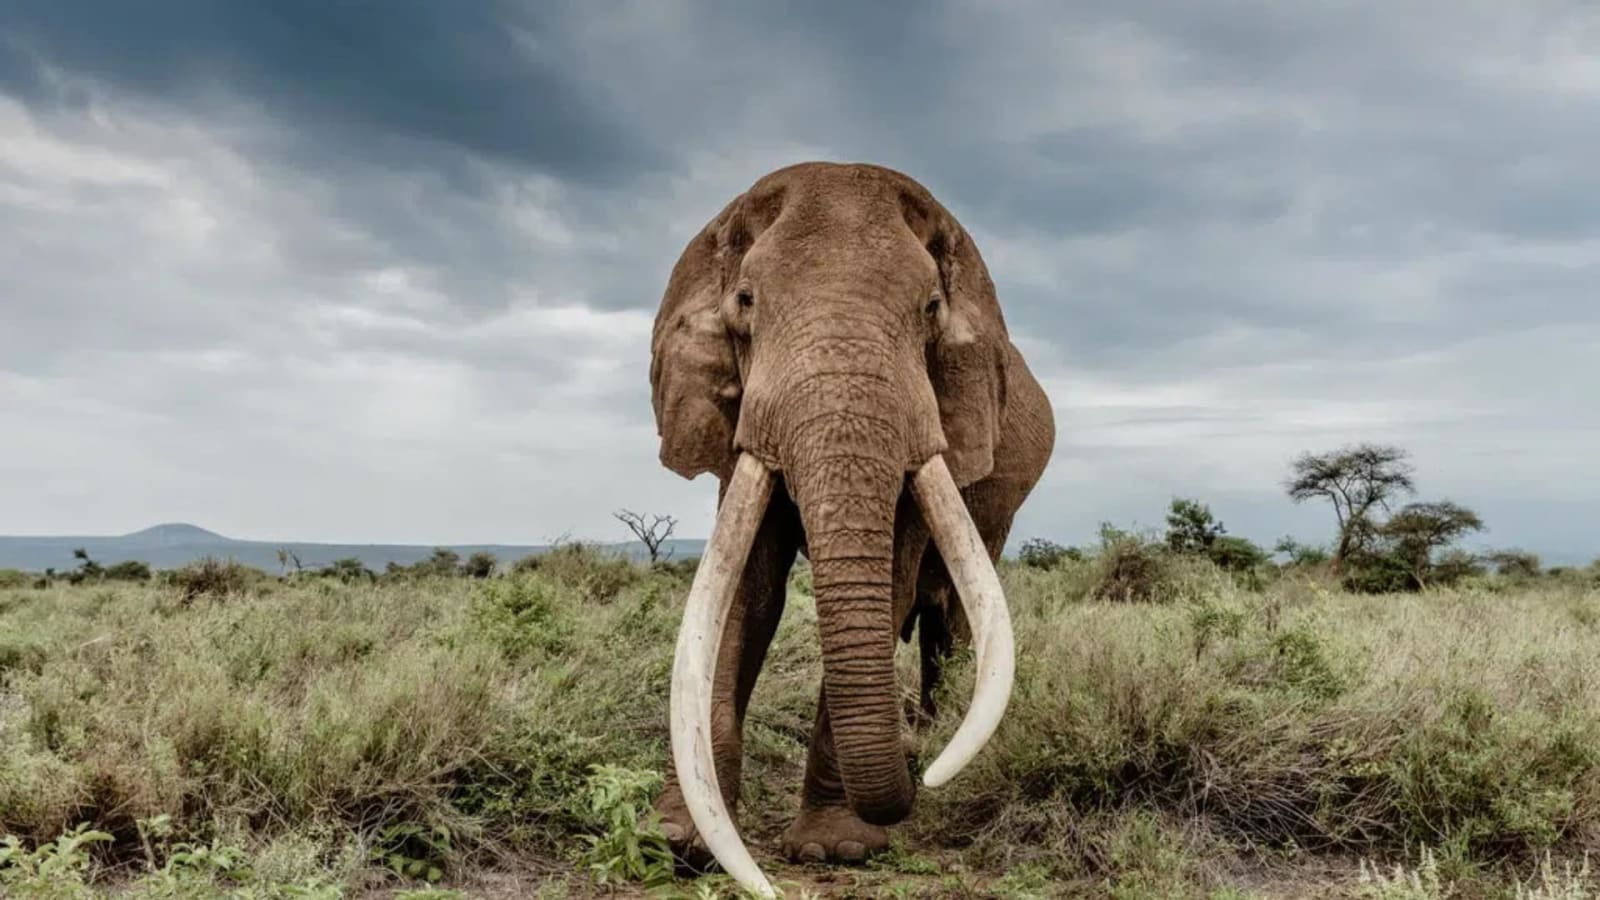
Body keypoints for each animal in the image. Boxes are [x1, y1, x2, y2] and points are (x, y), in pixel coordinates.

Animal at [647, 161, 1055, 896]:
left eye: (930, 309)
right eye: (745, 302)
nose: (918, 788)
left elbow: (892, 578)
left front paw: (835, 849)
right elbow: (743, 595)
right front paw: (674, 843)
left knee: (951, 615)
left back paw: (932, 740)